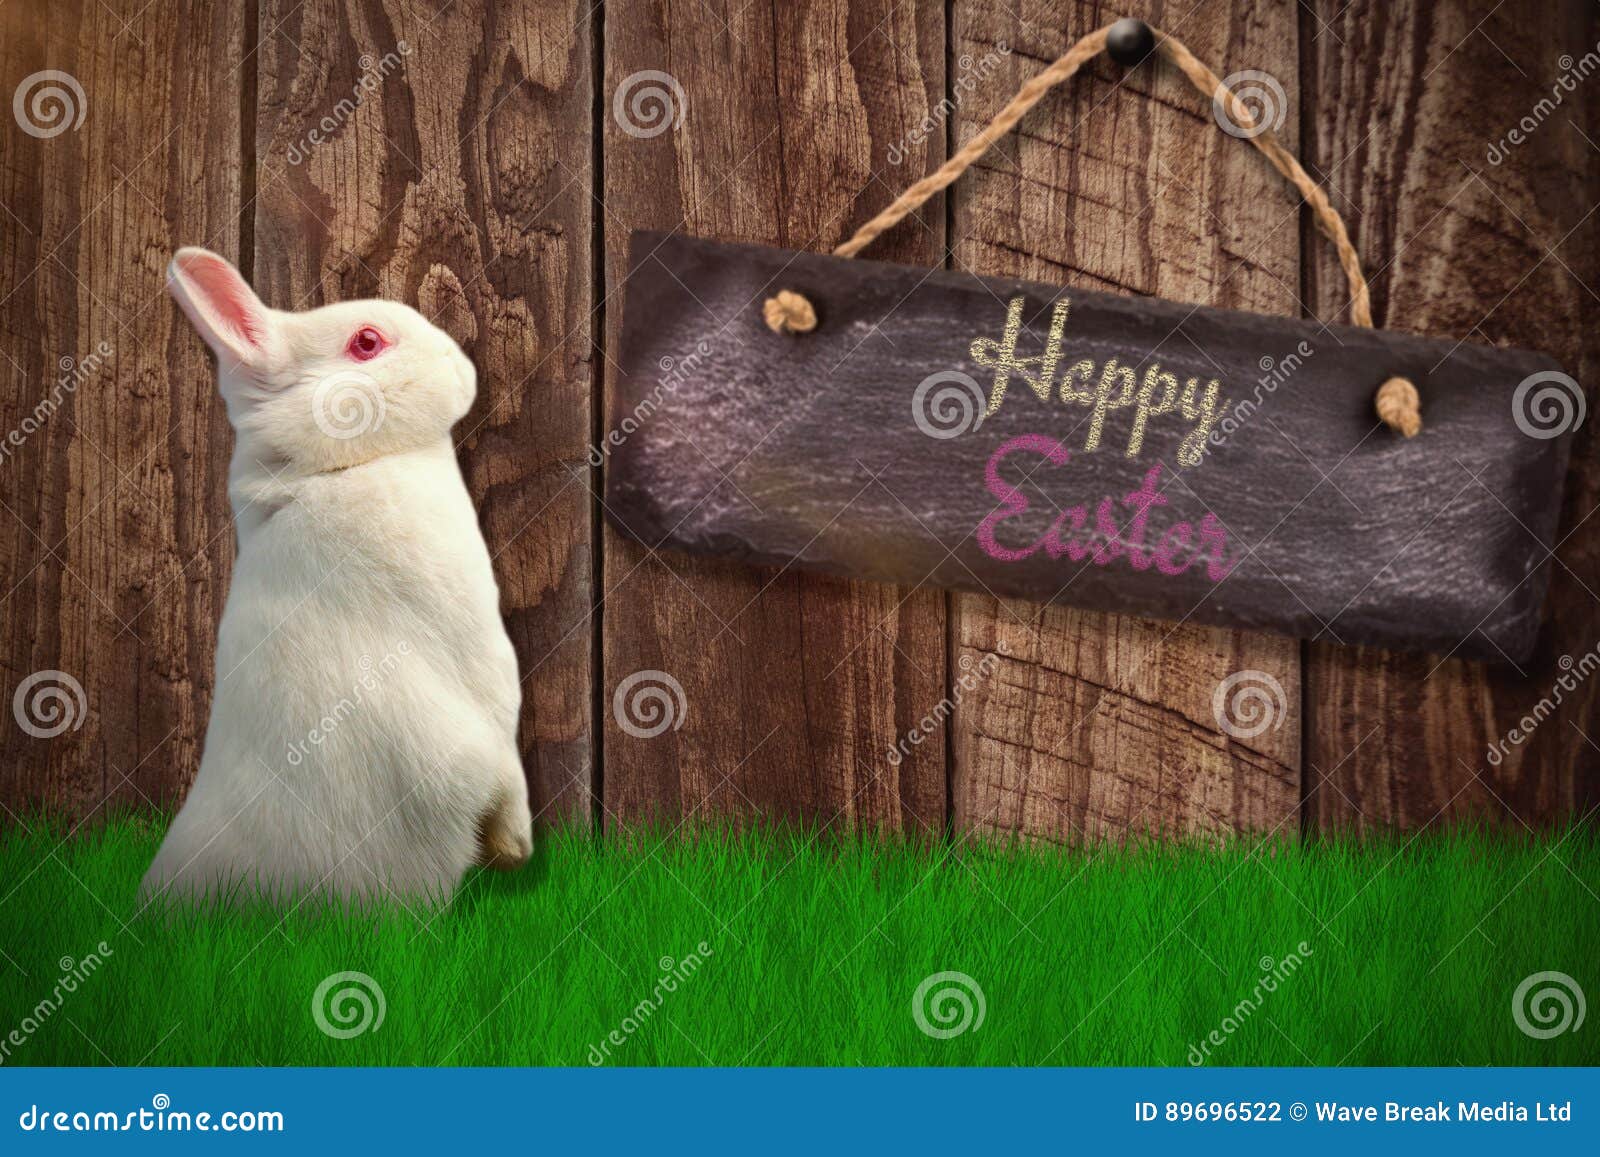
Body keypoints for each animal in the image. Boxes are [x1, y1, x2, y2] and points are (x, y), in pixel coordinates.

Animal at [139, 247, 532, 907]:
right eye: (367, 342)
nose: (461, 365)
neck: (329, 471)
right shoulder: (483, 668)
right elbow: (508, 770)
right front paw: (517, 849)